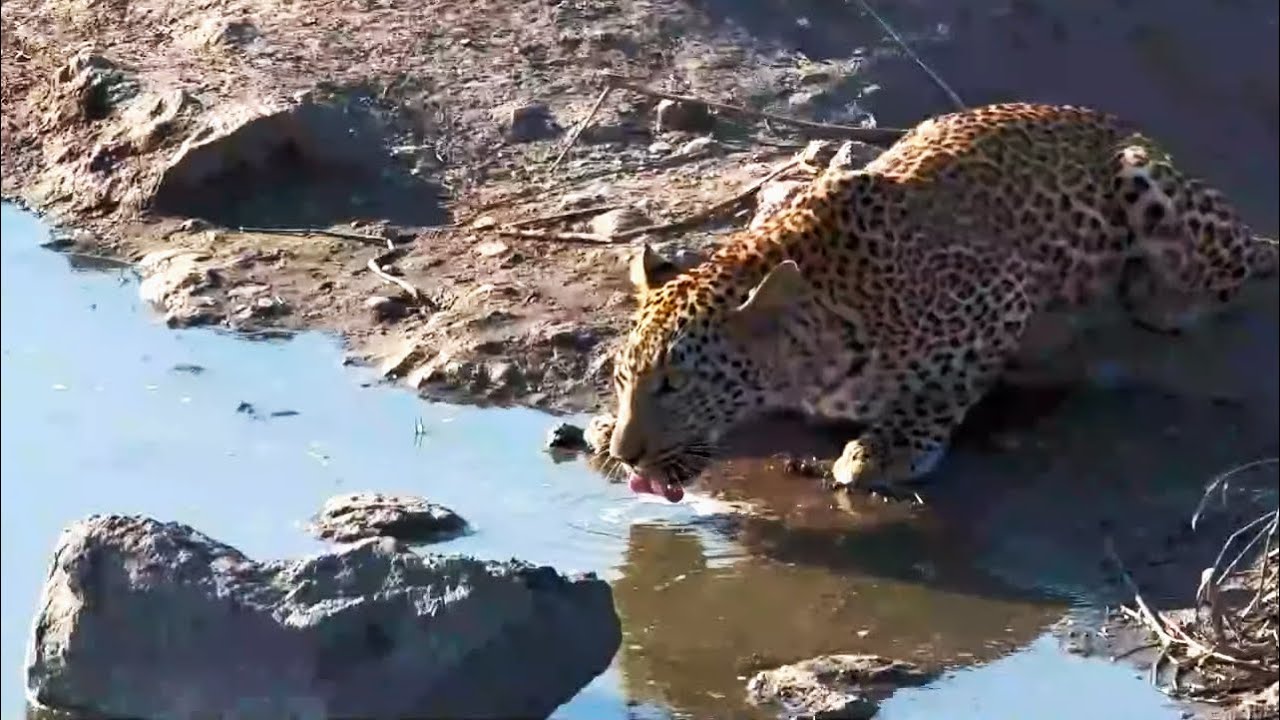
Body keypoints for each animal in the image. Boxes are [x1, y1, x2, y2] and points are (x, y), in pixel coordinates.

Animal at [600, 102, 1278, 502]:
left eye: (676, 385)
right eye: (622, 379)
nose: (627, 454)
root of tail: (1123, 125)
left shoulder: (1002, 294)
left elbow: (939, 389)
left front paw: (885, 449)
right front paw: (605, 428)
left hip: (1150, 187)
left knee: (1229, 269)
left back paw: (1160, 300)